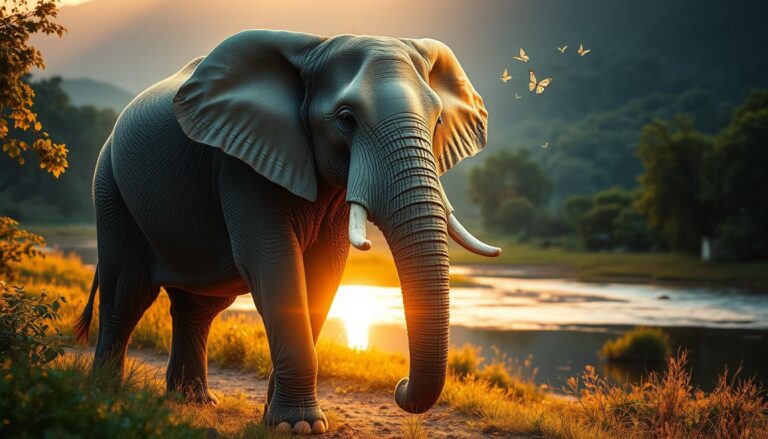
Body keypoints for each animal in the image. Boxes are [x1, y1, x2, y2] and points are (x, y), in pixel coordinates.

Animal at [74, 29, 500, 434]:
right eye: (346, 118)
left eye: (438, 121)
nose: (399, 386)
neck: (316, 47)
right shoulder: (241, 165)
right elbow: (271, 261)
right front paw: (299, 426)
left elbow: (324, 272)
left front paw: (278, 420)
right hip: (110, 187)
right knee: (128, 294)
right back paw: (108, 393)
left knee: (198, 306)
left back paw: (193, 401)